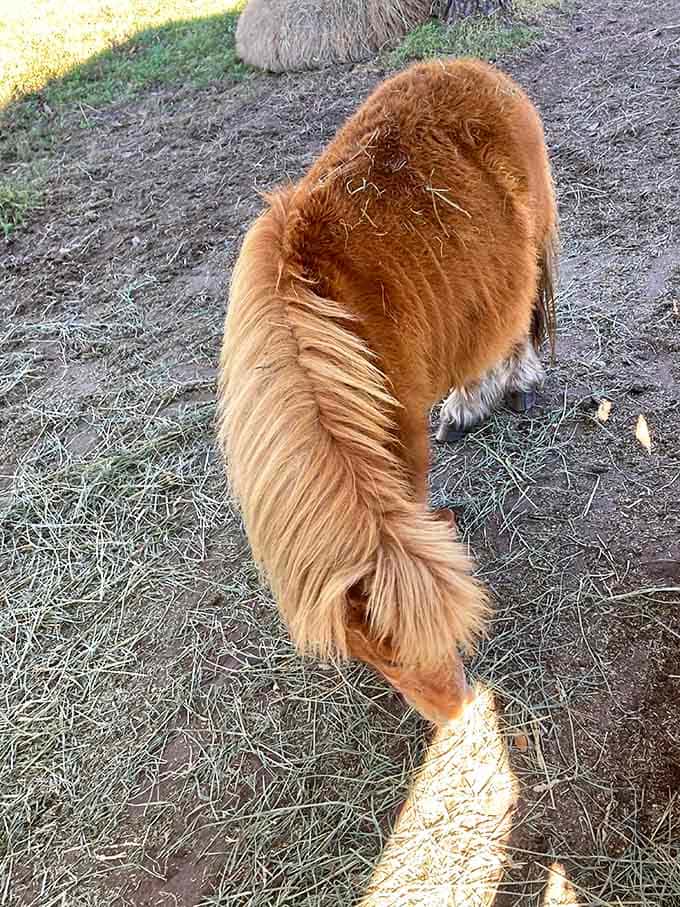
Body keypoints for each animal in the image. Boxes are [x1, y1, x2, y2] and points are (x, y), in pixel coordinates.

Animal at [217, 58, 558, 724]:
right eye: (382, 658)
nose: (457, 711)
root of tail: (473, 68)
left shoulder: (403, 442)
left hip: (531, 244)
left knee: (518, 320)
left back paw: (508, 389)